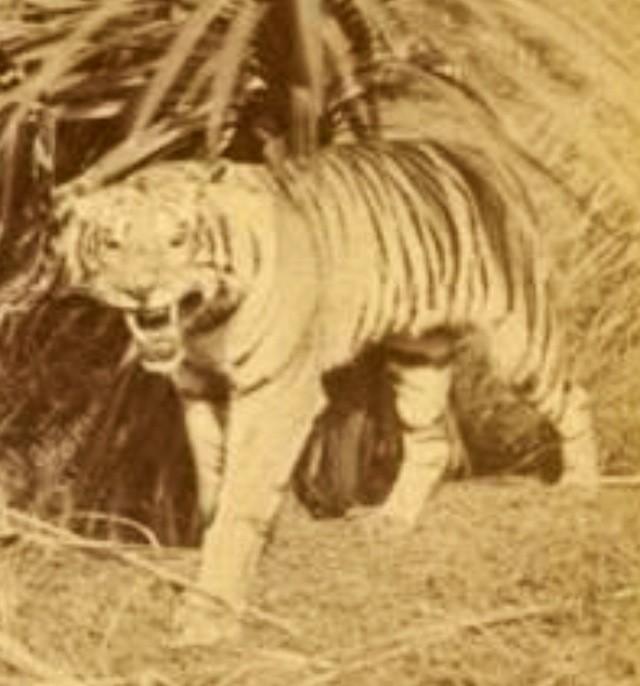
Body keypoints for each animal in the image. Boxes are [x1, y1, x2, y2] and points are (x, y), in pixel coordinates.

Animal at [54, 139, 599, 645]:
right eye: (111, 243)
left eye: (178, 239)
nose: (140, 290)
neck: (202, 324)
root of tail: (480, 152)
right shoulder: (200, 391)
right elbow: (214, 484)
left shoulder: (276, 393)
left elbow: (241, 500)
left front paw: (211, 611)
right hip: (417, 354)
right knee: (433, 442)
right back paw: (392, 520)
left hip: (518, 339)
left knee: (574, 398)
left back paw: (581, 485)